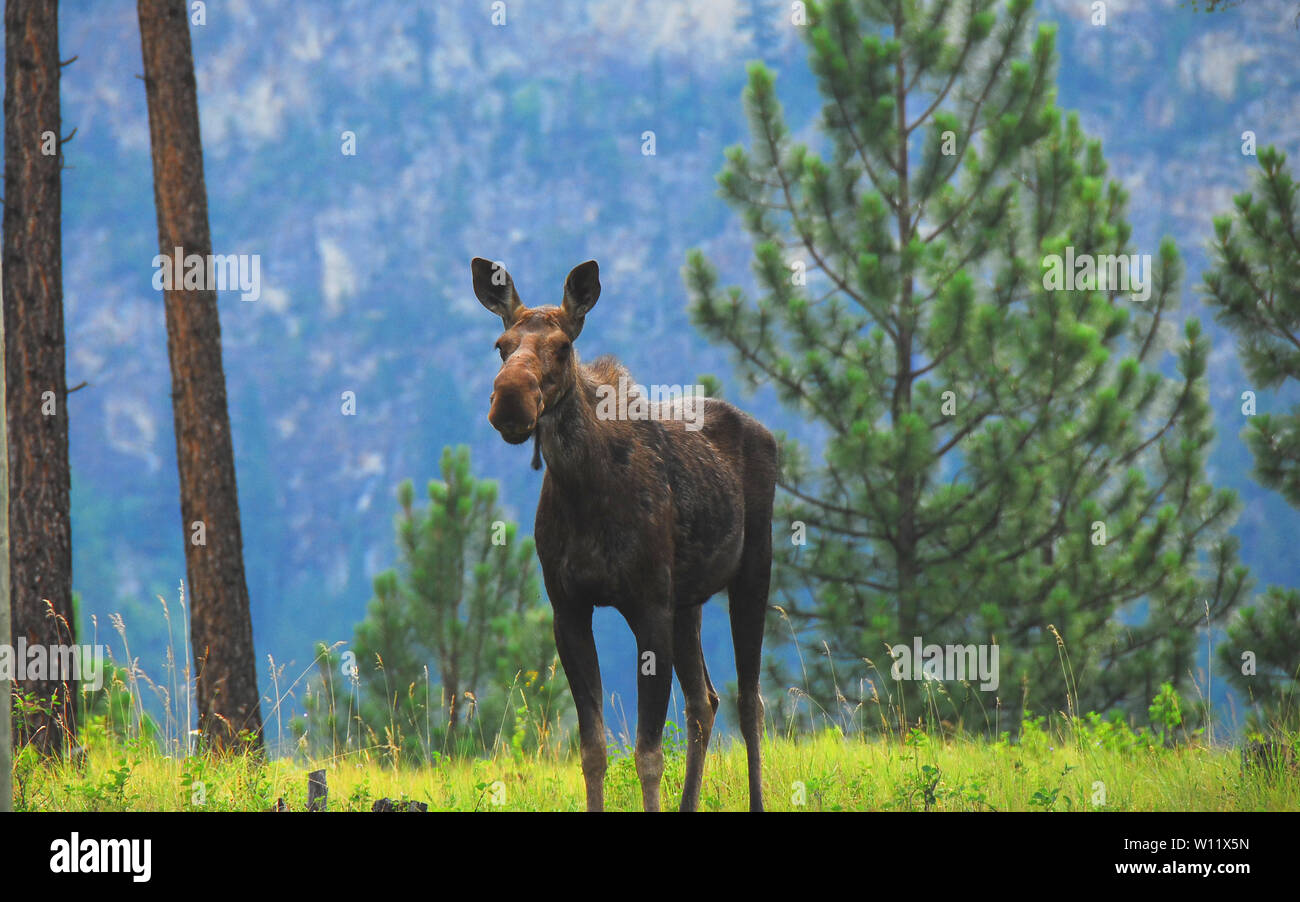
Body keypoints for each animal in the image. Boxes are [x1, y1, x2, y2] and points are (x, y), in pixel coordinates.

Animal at [472, 257, 776, 812]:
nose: (508, 402)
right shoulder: (569, 608)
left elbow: (647, 752)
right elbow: (593, 749)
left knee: (749, 700)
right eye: (501, 345)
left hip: (753, 568)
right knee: (704, 702)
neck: (584, 491)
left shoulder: (648, 606)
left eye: (563, 346)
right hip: (688, 601)